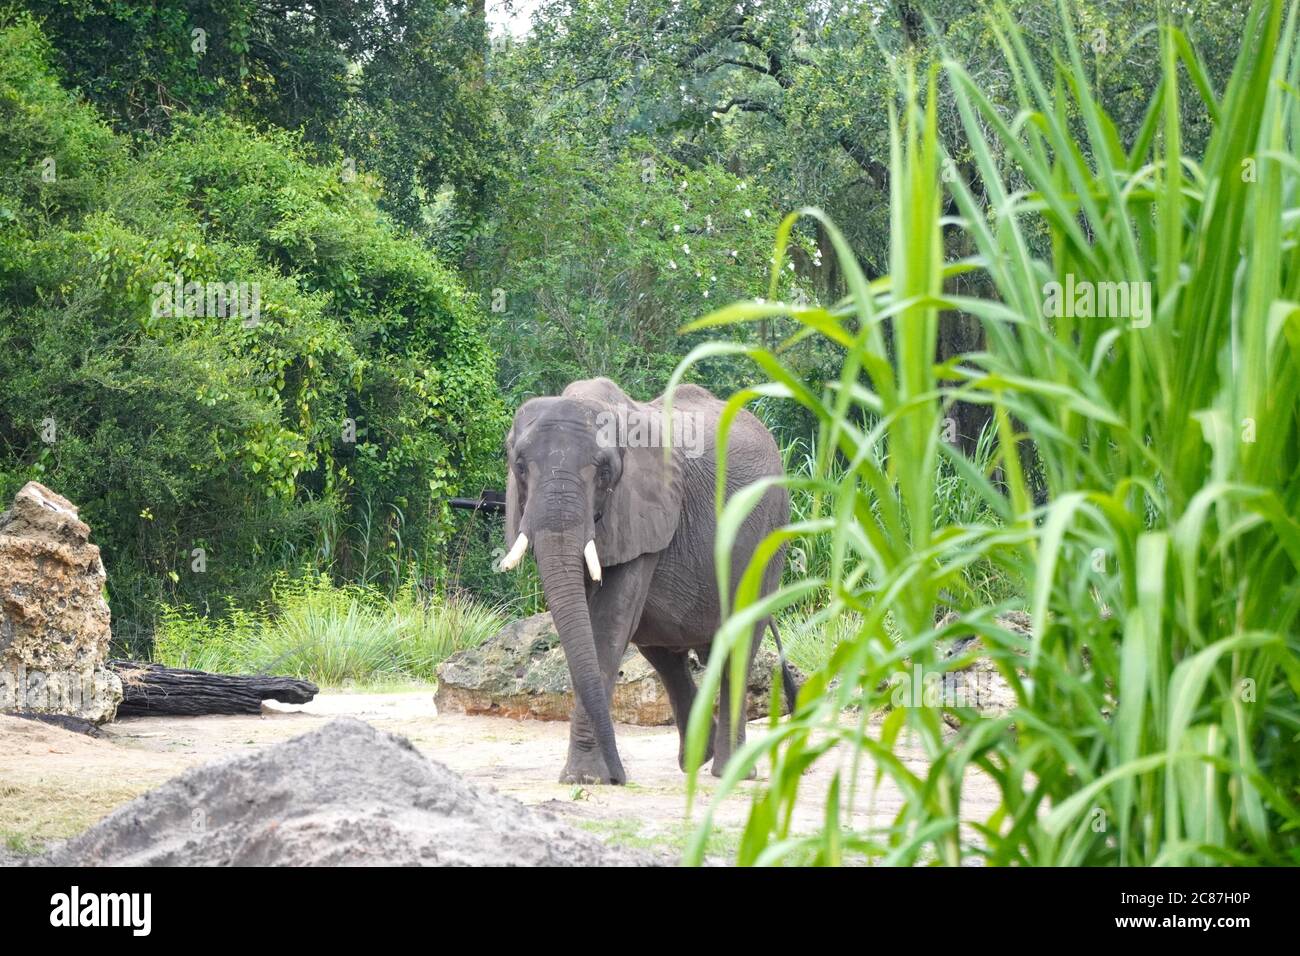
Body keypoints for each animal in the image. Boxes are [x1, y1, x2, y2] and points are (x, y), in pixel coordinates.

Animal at [501, 376, 795, 785]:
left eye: (605, 472)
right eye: (519, 466)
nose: (620, 776)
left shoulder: (642, 513)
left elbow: (607, 625)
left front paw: (585, 779)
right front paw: (590, 776)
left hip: (769, 531)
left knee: (738, 641)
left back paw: (730, 771)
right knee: (664, 650)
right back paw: (698, 758)